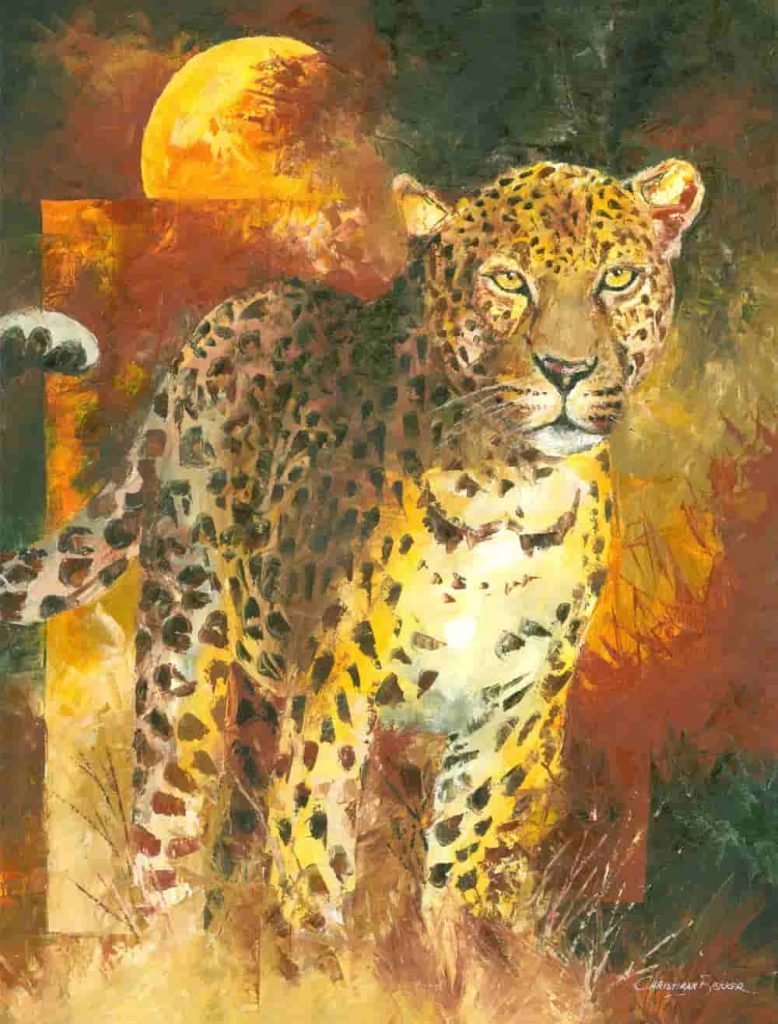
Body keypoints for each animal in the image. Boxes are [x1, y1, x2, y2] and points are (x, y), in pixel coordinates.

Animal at [0, 158, 703, 957]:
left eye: (617, 278)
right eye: (507, 280)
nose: (566, 369)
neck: (513, 490)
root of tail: (221, 319)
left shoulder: (521, 704)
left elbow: (469, 851)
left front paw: (465, 959)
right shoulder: (336, 678)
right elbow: (315, 833)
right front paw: (323, 960)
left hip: (262, 688)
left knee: (240, 817)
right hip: (187, 633)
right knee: (168, 810)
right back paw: (167, 958)